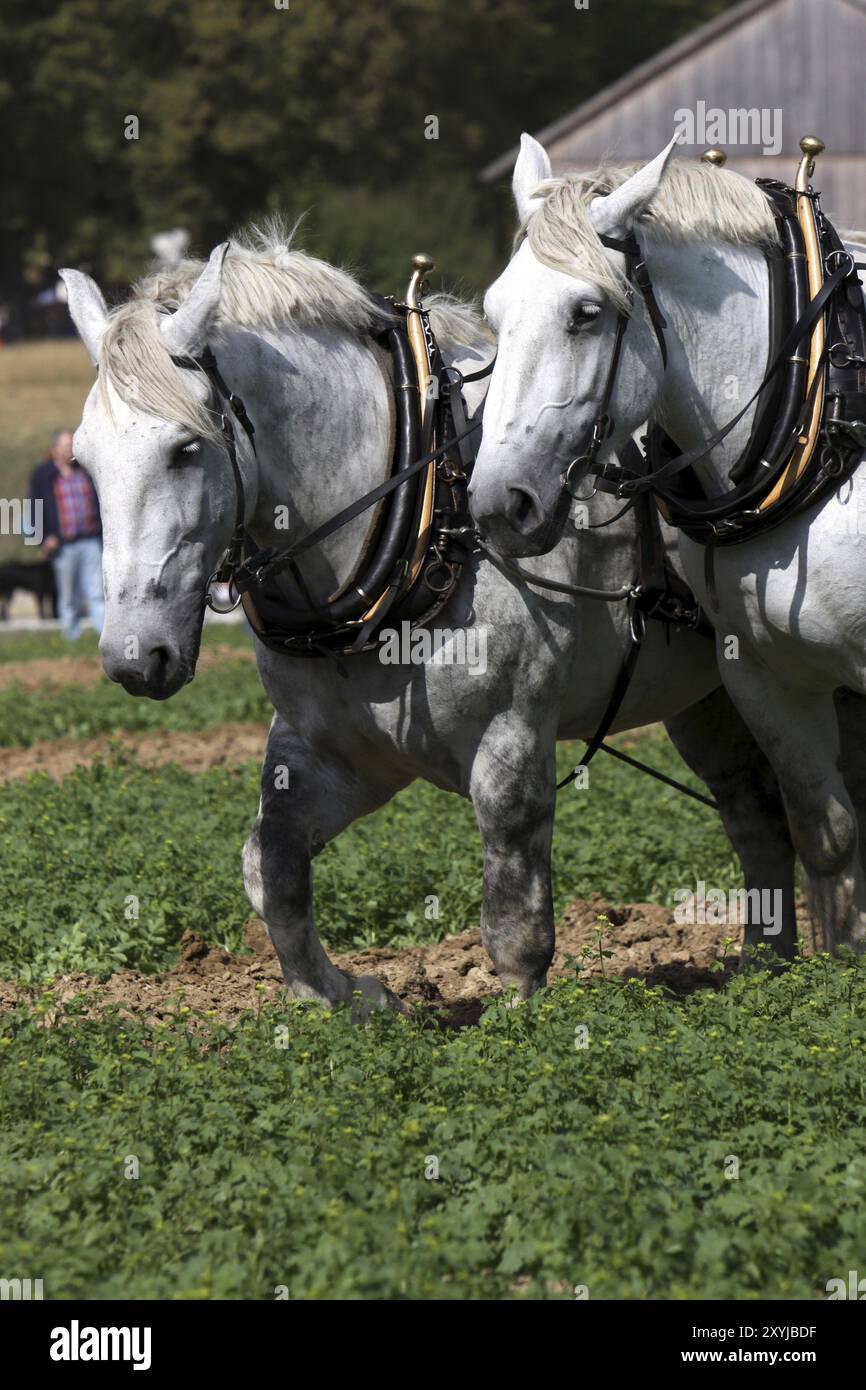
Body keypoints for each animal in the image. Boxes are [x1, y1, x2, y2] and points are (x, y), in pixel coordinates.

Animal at [59, 221, 797, 1007]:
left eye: (186, 447)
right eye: (85, 460)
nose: (134, 656)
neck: (418, 513)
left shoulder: (511, 744)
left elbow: (514, 922)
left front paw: (520, 1022)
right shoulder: (335, 754)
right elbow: (272, 872)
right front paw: (346, 998)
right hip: (706, 702)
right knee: (759, 813)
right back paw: (767, 967)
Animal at [469, 133, 866, 954]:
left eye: (587, 313)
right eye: (493, 312)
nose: (497, 503)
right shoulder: (765, 678)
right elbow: (828, 834)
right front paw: (840, 963)